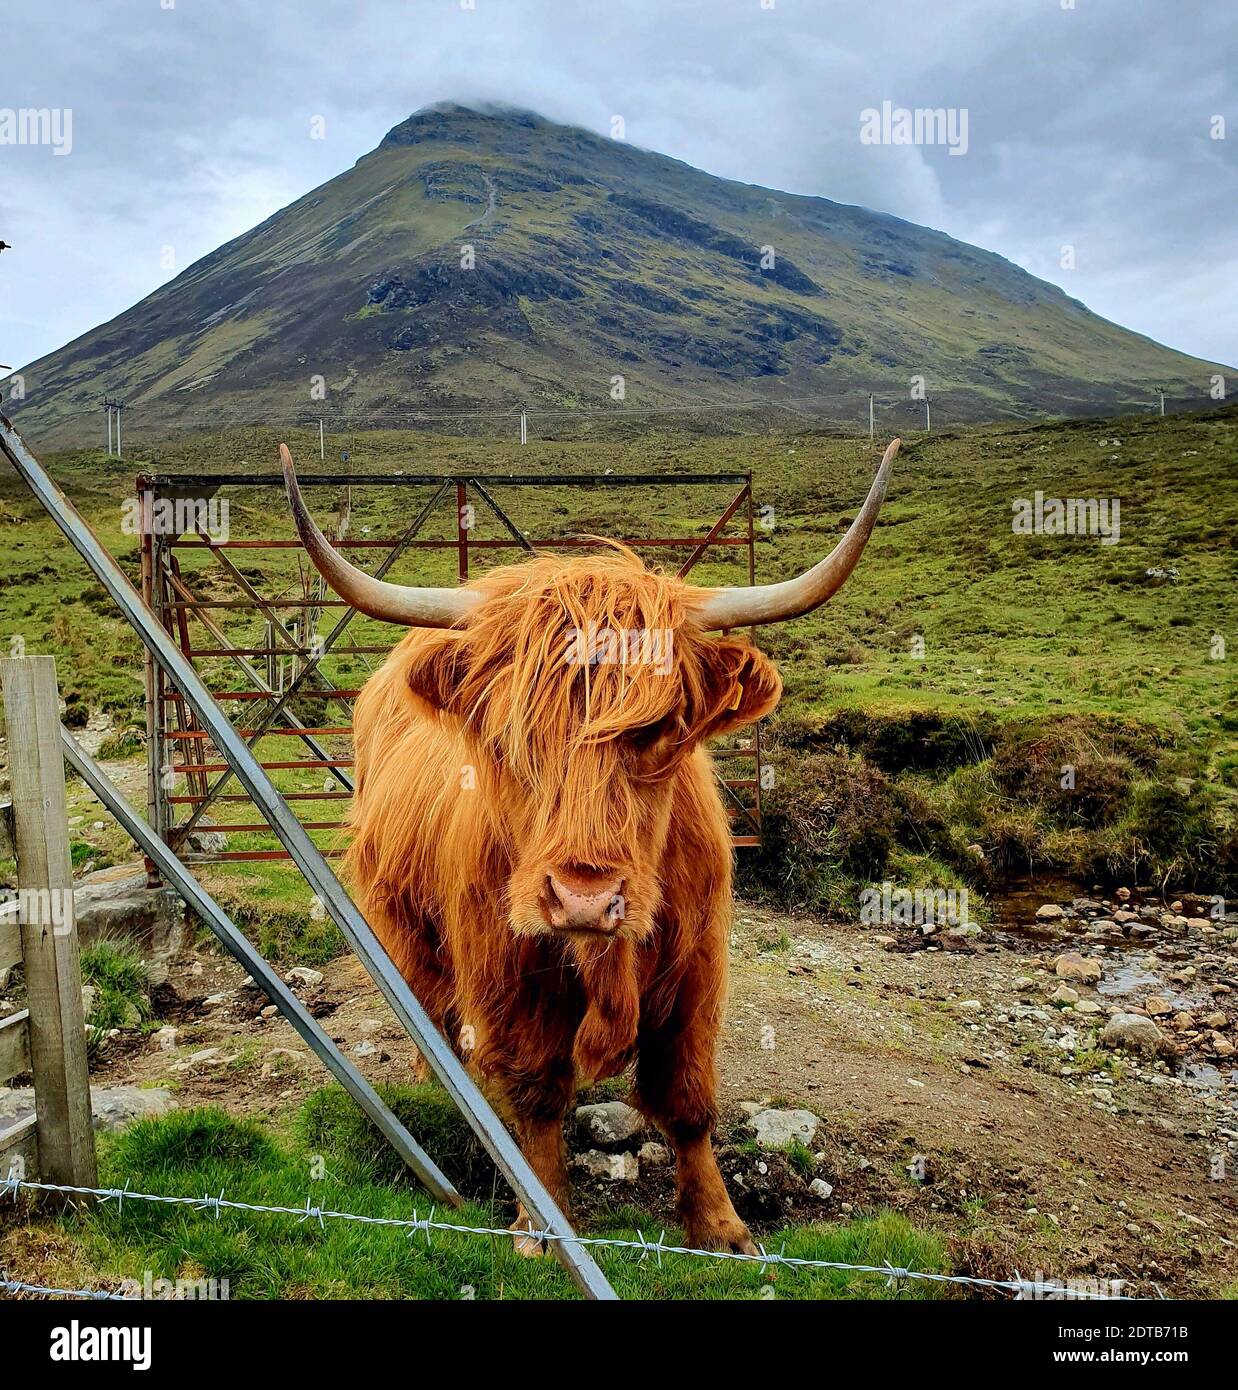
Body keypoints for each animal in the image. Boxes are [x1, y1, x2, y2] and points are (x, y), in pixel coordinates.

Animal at [281, 438, 898, 1255]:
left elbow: (687, 1096)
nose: (582, 899)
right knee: (429, 1009)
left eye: (659, 728)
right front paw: (544, 1226)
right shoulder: (510, 973)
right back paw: (434, 1082)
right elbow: (538, 1096)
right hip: (400, 918)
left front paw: (721, 1225)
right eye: (509, 734)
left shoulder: (699, 965)